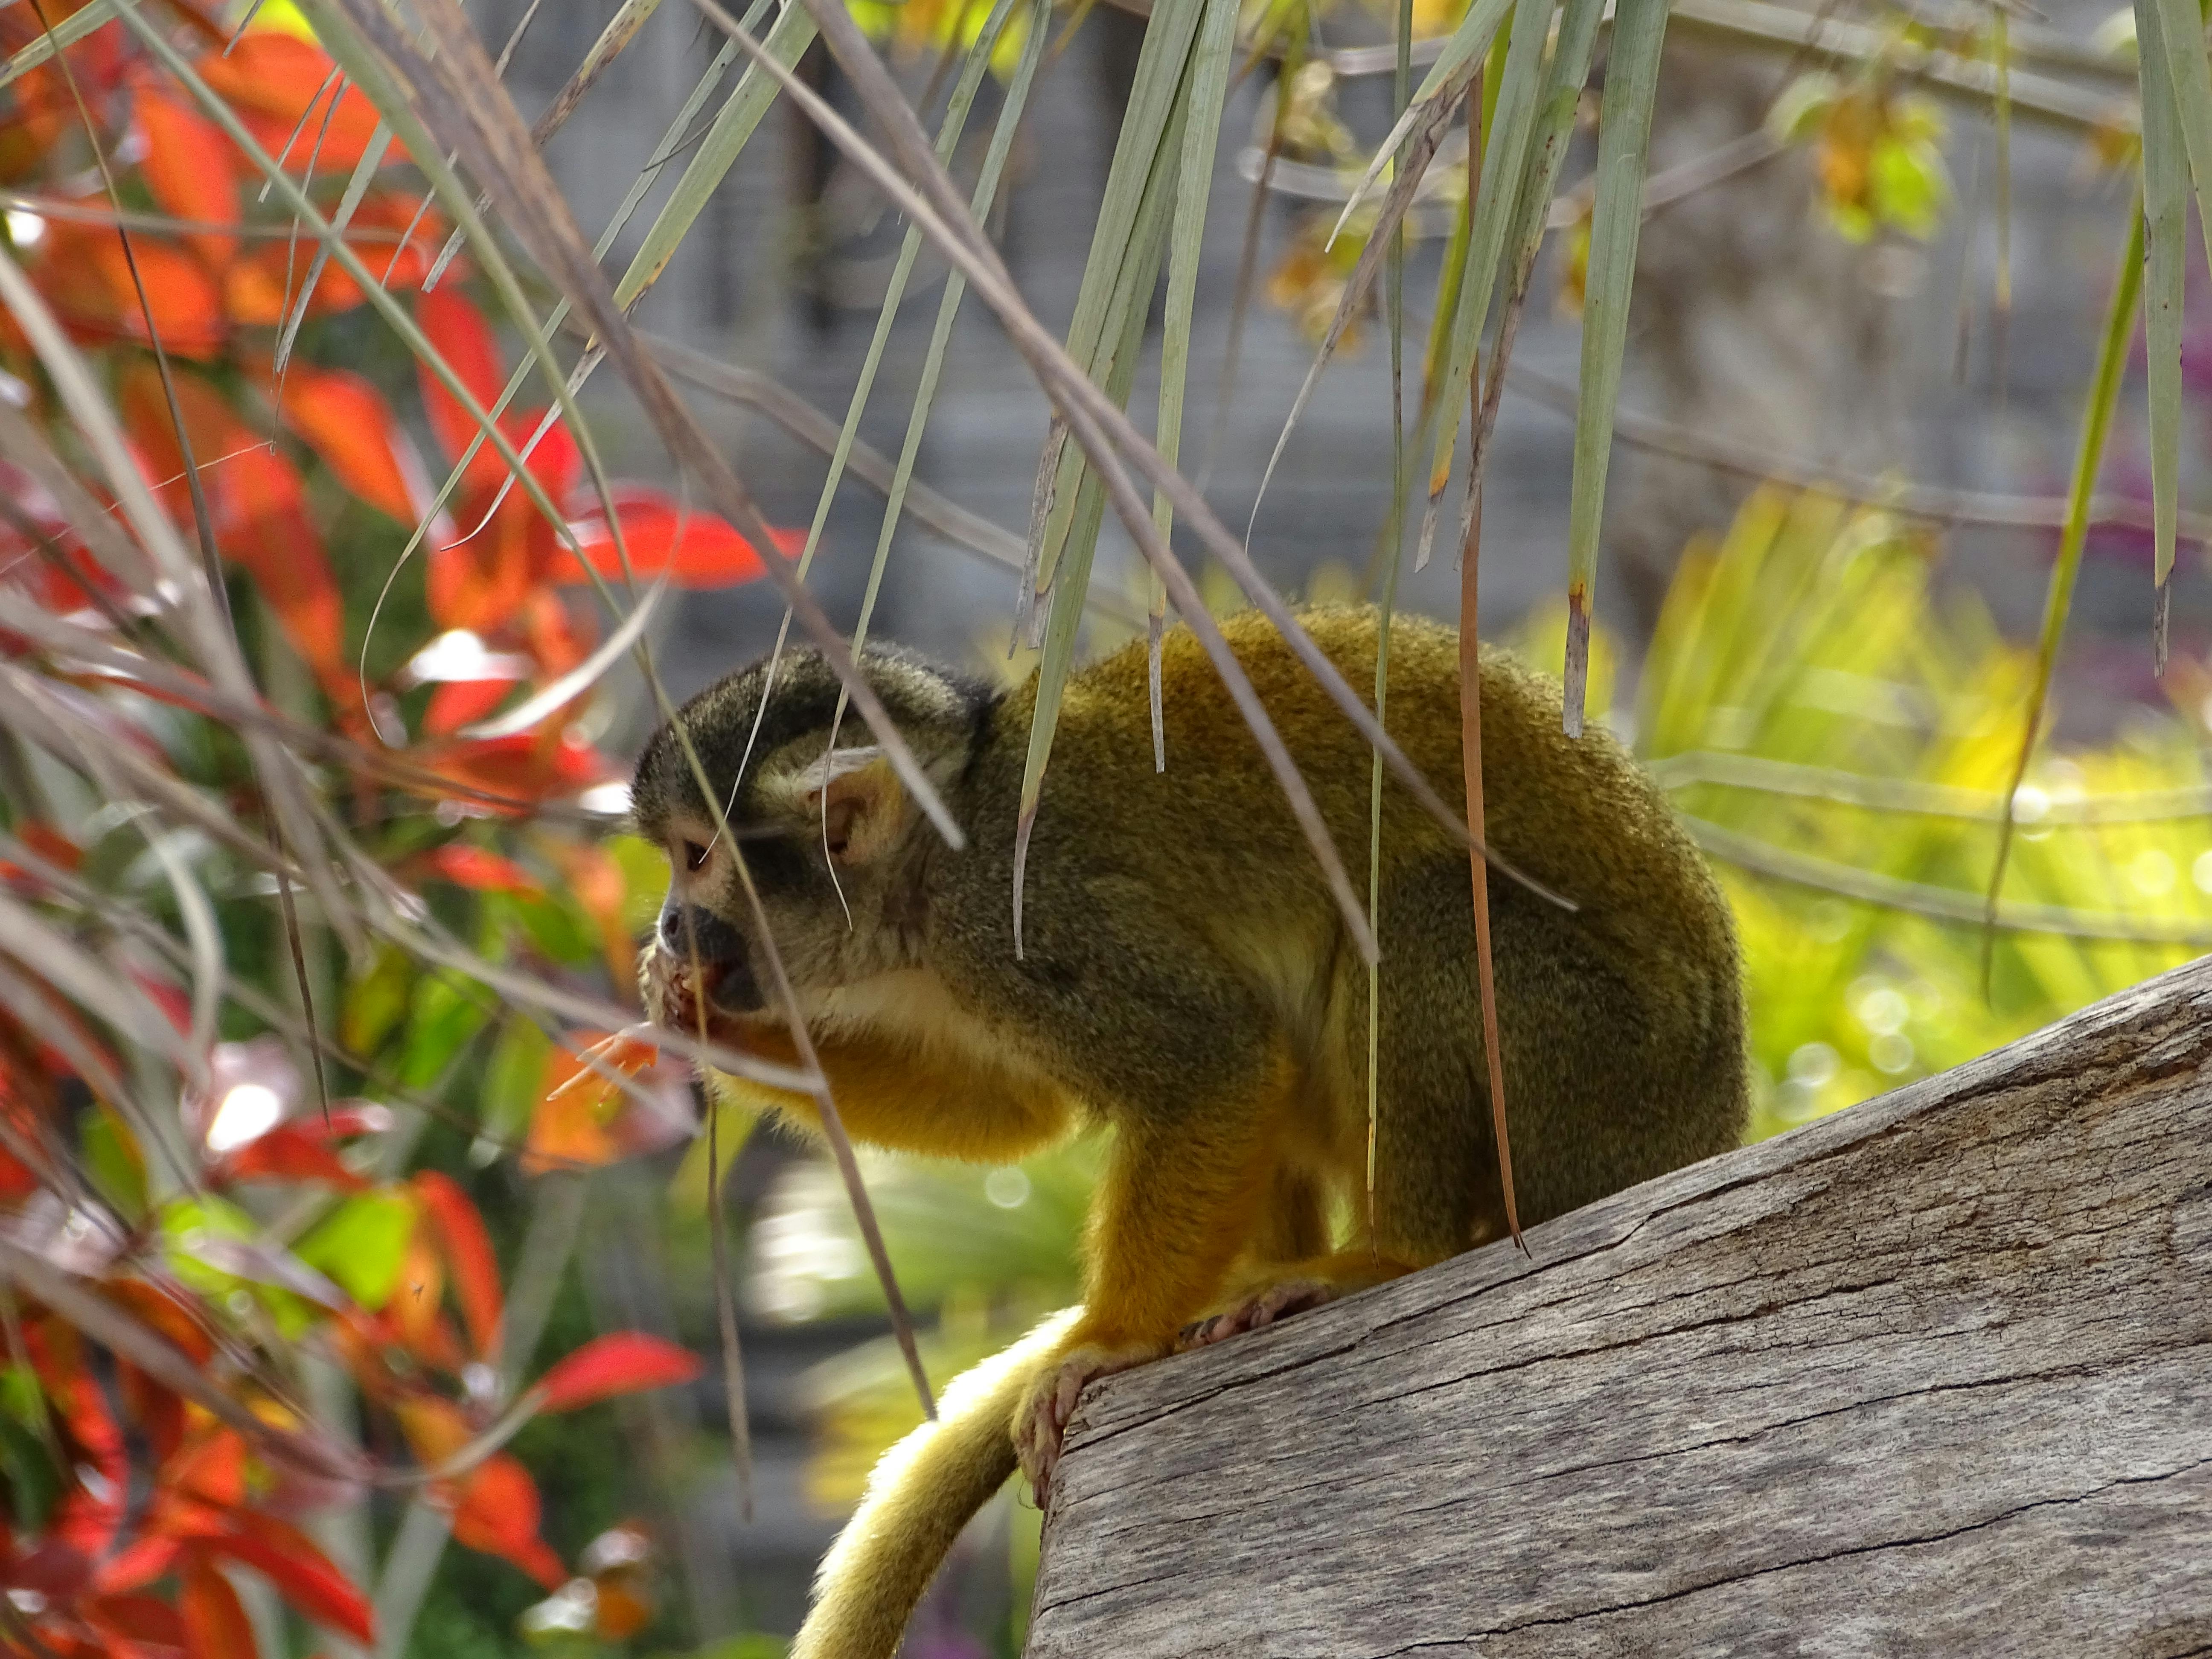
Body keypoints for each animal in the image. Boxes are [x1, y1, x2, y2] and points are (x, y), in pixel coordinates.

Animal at [628, 605, 1748, 1659]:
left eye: (696, 857)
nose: (670, 927)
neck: (934, 859)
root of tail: (1712, 1122)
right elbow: (1020, 1110)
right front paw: (710, 1026)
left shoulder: (1015, 914)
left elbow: (1213, 1062)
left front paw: (1111, 1341)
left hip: (1601, 1080)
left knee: (1418, 910)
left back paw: (1391, 1256)